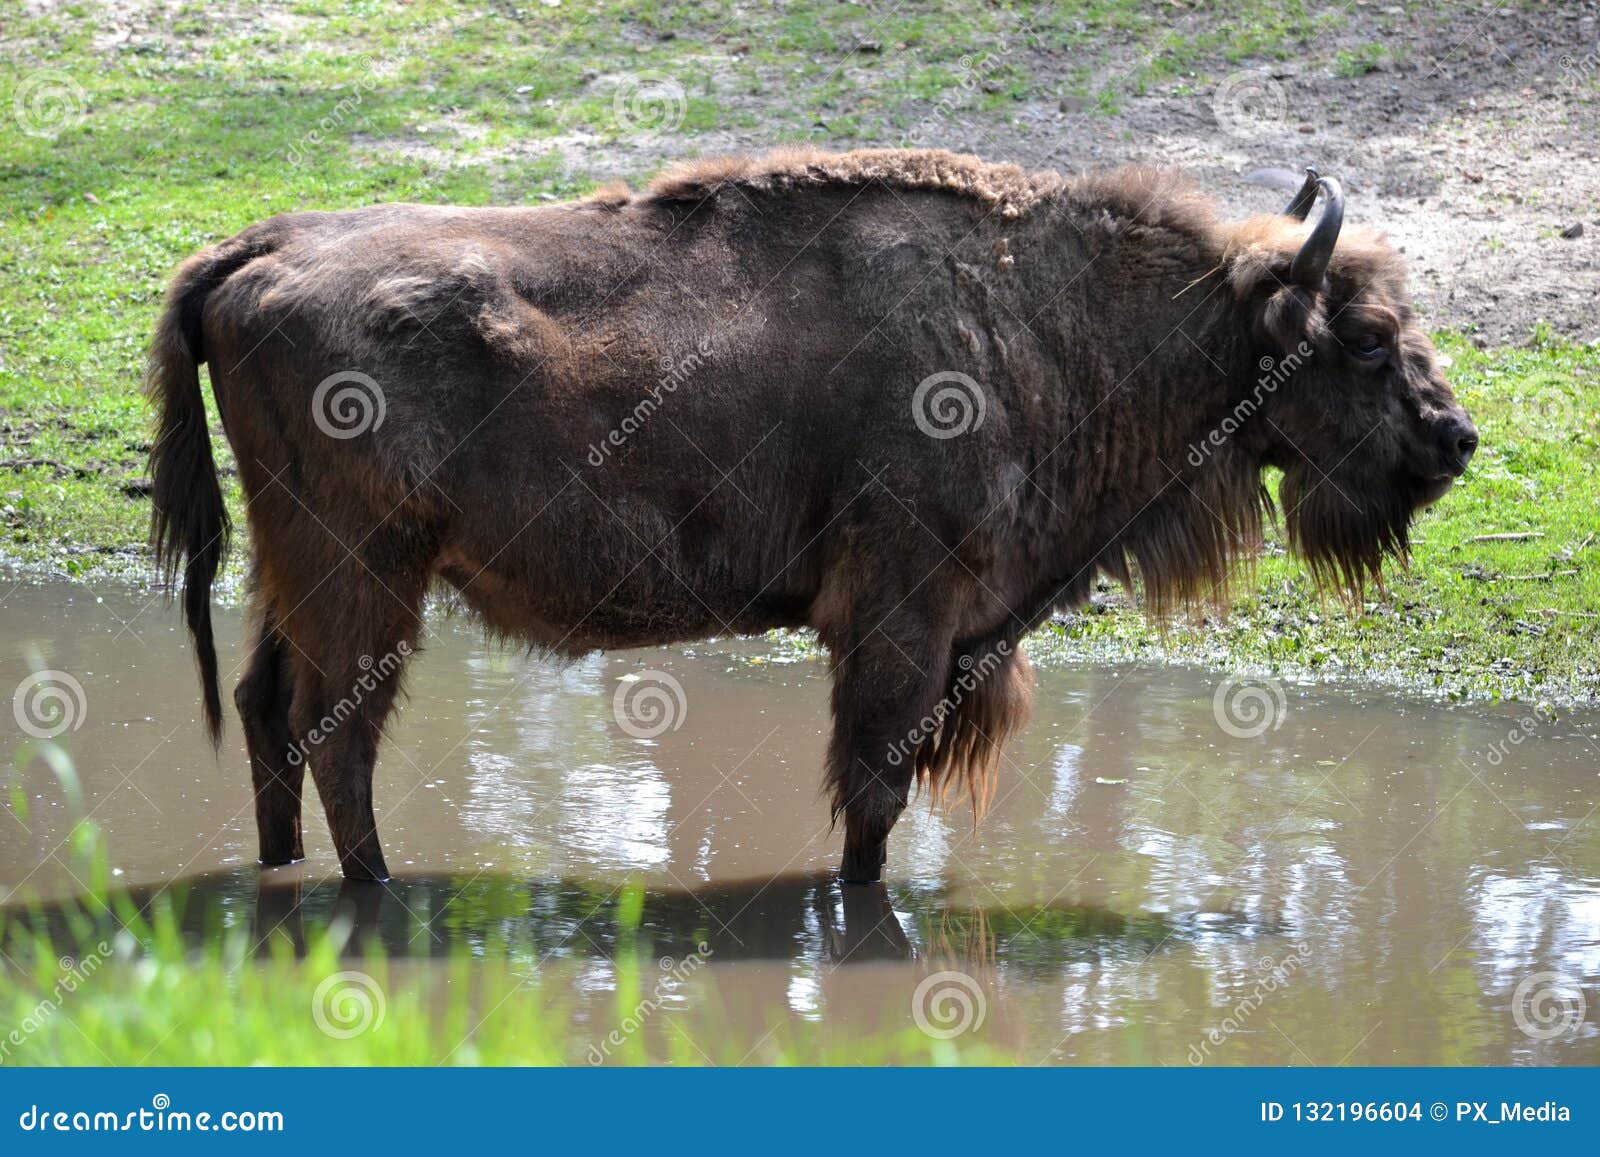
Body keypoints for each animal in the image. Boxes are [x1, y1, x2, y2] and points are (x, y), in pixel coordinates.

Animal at [147, 147, 1477, 883]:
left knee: (268, 712)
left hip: (300, 576)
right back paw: (376, 894)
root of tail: (251, 249)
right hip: (366, 576)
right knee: (334, 738)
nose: (1453, 439)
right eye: (1364, 336)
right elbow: (873, 794)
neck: (1037, 318)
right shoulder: (902, 622)